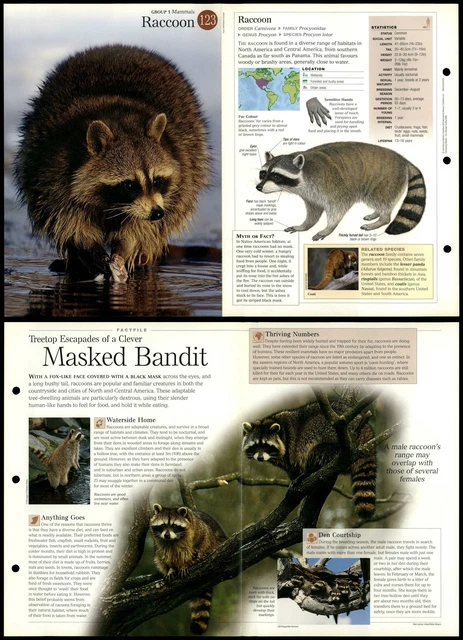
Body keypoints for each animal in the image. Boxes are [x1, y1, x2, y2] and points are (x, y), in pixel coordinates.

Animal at [14, 44, 209, 280]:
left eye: (157, 180)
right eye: (129, 184)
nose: (156, 212)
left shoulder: (172, 186)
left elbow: (142, 230)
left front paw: (123, 250)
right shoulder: (51, 172)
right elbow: (69, 222)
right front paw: (92, 251)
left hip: (192, 162)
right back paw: (77, 261)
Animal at [150, 504, 227, 635]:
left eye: (174, 526)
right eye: (163, 525)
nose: (166, 535)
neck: (172, 540)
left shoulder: (198, 530)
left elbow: (202, 540)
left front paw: (186, 564)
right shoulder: (161, 542)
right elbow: (165, 555)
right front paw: (171, 568)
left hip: (217, 541)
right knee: (160, 556)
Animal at [242, 395, 377, 519]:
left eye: (266, 445)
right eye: (255, 446)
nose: (260, 458)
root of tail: (366, 429)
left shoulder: (290, 450)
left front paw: (300, 476)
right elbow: (292, 470)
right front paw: (295, 478)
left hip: (335, 438)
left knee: (316, 453)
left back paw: (309, 472)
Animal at [256, 142, 426, 240]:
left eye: (276, 176)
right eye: (263, 174)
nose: (258, 187)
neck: (304, 172)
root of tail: (403, 159)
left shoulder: (329, 184)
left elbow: (338, 207)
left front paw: (328, 228)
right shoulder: (310, 195)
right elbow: (314, 211)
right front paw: (305, 225)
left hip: (387, 179)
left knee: (381, 199)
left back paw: (382, 218)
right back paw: (376, 213)